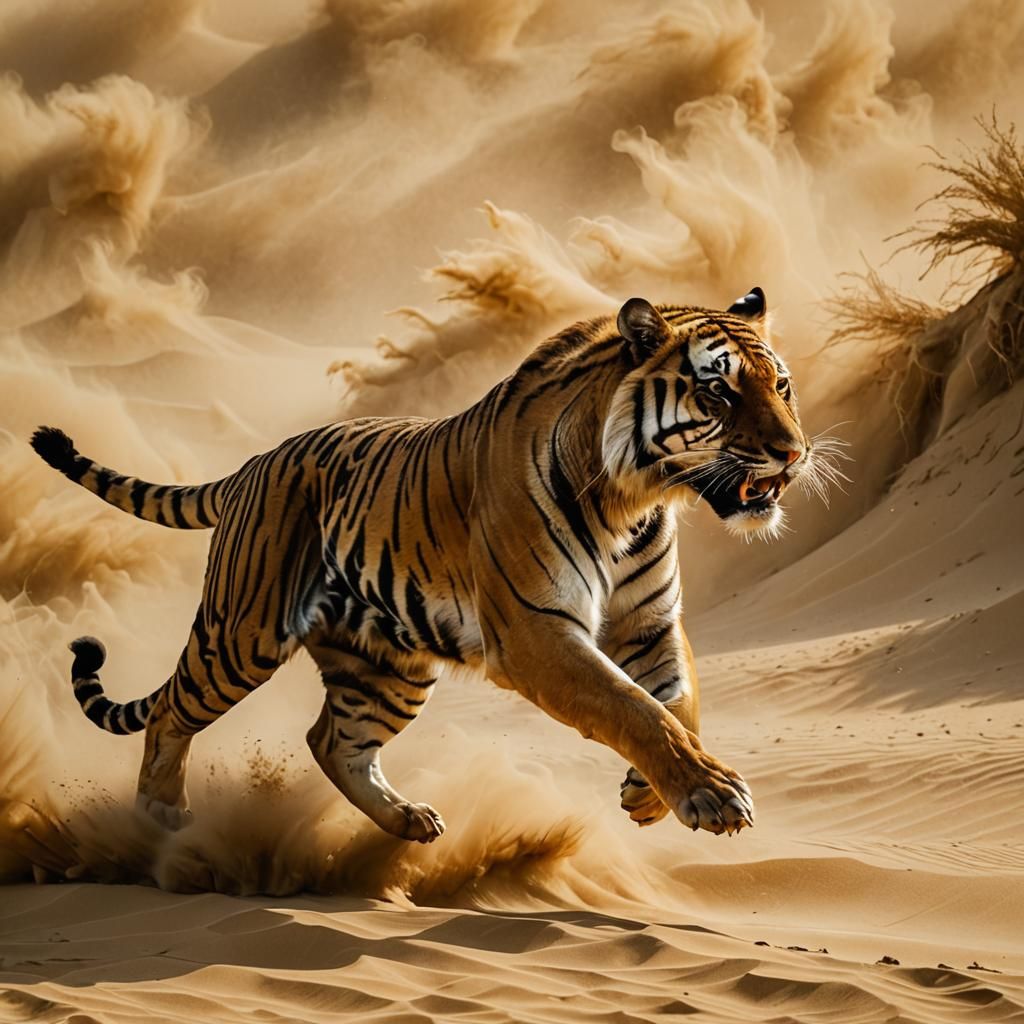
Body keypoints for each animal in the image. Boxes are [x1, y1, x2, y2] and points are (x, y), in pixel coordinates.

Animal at [30, 286, 811, 843]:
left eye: (782, 386)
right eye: (717, 389)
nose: (794, 453)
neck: (636, 498)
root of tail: (250, 465)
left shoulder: (649, 623)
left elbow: (677, 703)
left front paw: (652, 794)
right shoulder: (536, 634)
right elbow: (631, 707)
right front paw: (712, 795)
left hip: (388, 667)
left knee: (331, 742)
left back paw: (407, 820)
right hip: (240, 636)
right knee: (168, 714)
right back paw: (158, 826)